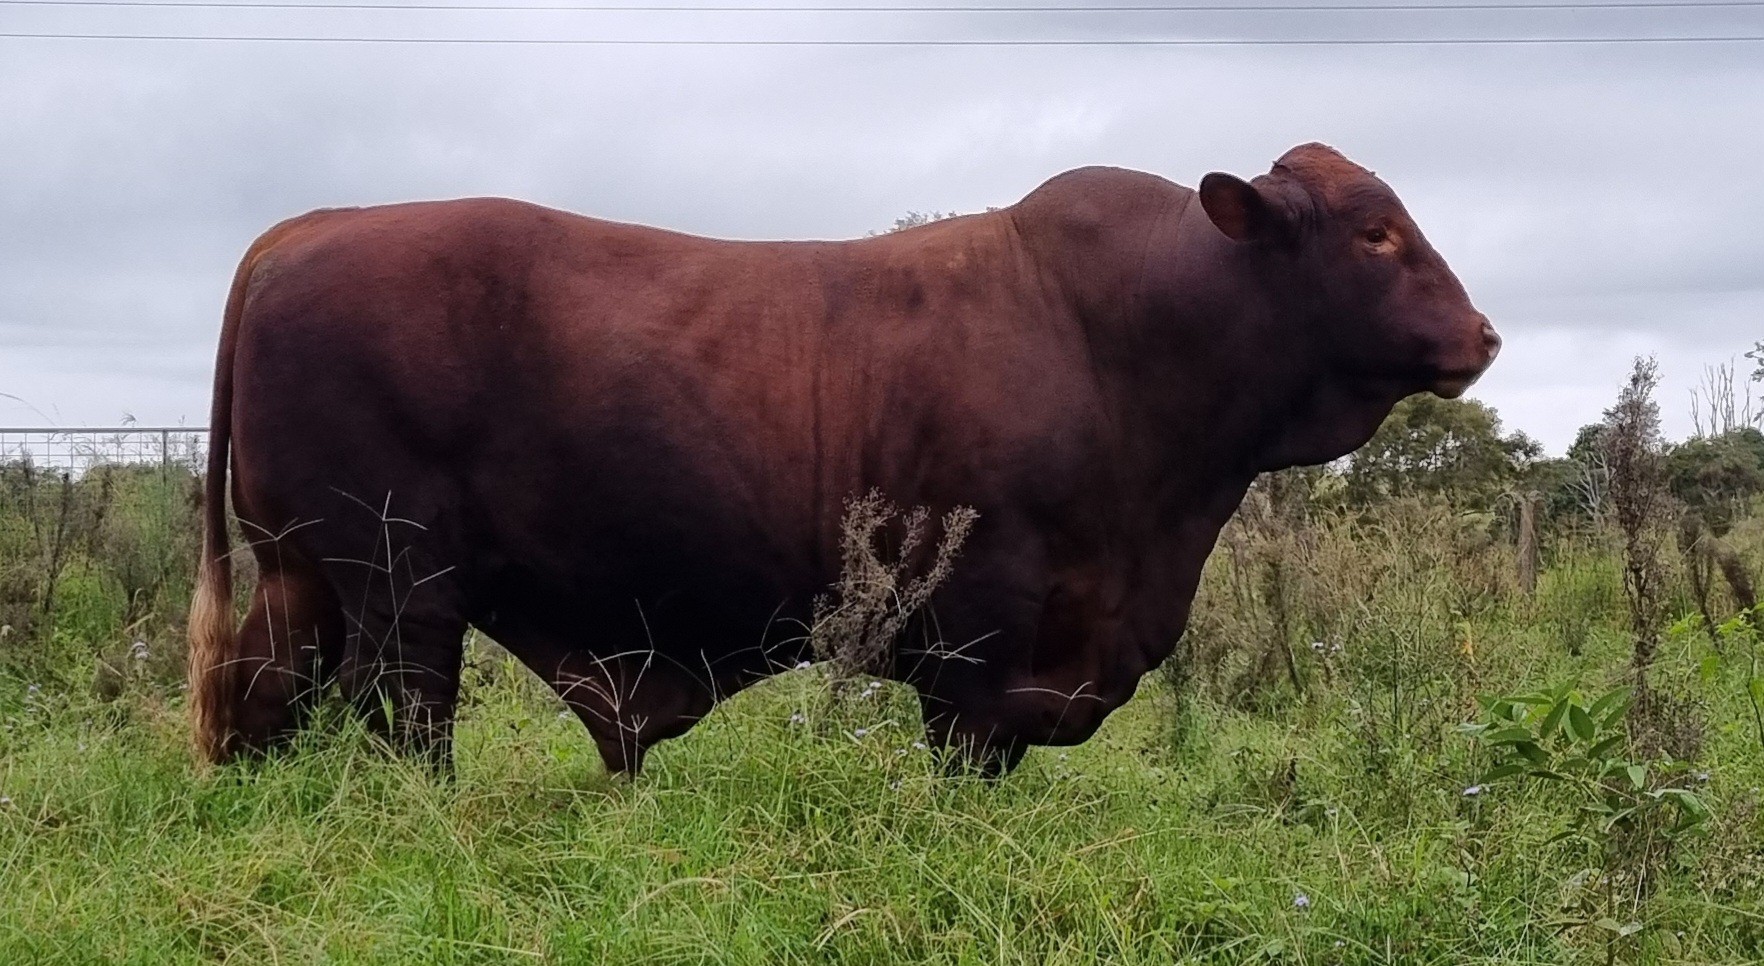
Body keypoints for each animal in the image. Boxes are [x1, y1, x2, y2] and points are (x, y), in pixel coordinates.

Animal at [188, 142, 1500, 776]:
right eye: (1375, 234)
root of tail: (310, 228)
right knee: (405, 727)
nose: (1483, 336)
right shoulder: (981, 648)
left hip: (306, 580)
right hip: (398, 590)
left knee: (259, 707)